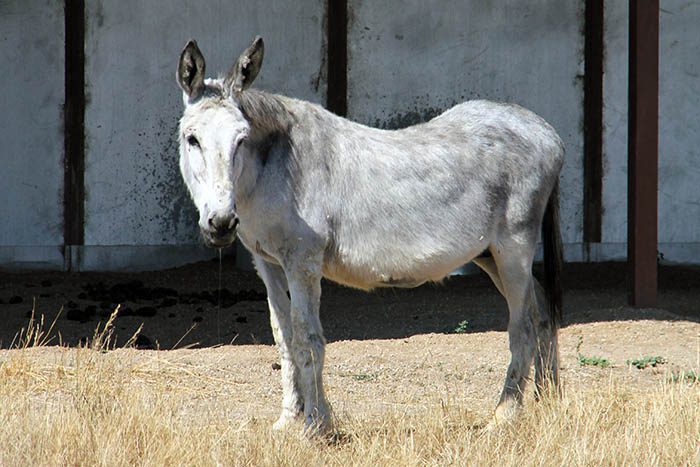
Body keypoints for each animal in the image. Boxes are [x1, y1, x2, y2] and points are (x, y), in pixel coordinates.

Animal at [175, 36, 564, 434]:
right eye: (192, 139)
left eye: (241, 139)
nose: (221, 223)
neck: (276, 168)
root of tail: (545, 130)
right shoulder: (268, 264)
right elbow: (283, 337)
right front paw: (288, 420)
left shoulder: (303, 262)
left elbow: (307, 338)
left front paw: (315, 426)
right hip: (490, 257)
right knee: (542, 308)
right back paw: (546, 402)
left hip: (513, 249)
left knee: (522, 326)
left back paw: (504, 416)